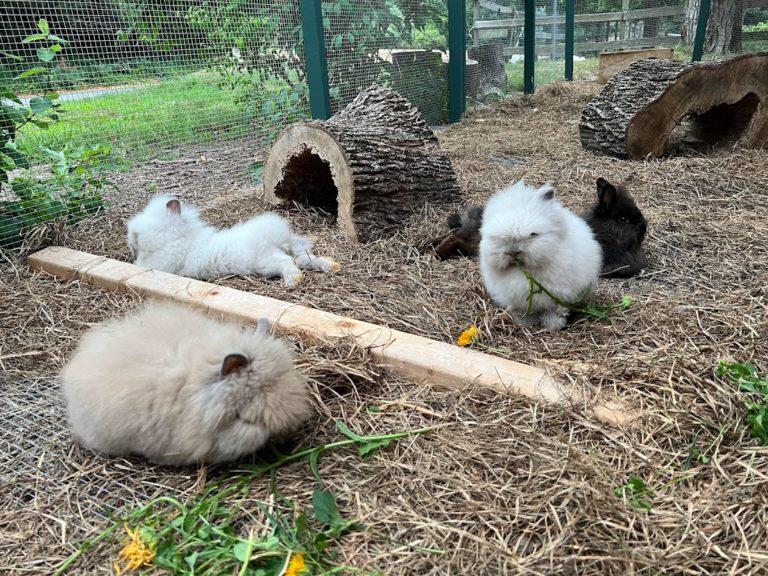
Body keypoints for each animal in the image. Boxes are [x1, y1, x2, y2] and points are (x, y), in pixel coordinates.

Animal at [126, 195, 340, 288]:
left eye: (138, 231)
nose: (132, 242)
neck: (181, 238)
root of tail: (279, 239)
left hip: (265, 261)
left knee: (288, 262)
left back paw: (292, 281)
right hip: (291, 249)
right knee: (303, 258)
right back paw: (332, 265)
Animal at [479, 180, 602, 332]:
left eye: (533, 234)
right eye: (495, 237)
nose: (513, 252)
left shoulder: (559, 296)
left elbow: (555, 311)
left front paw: (553, 326)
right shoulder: (518, 302)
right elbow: (525, 313)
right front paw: (526, 324)